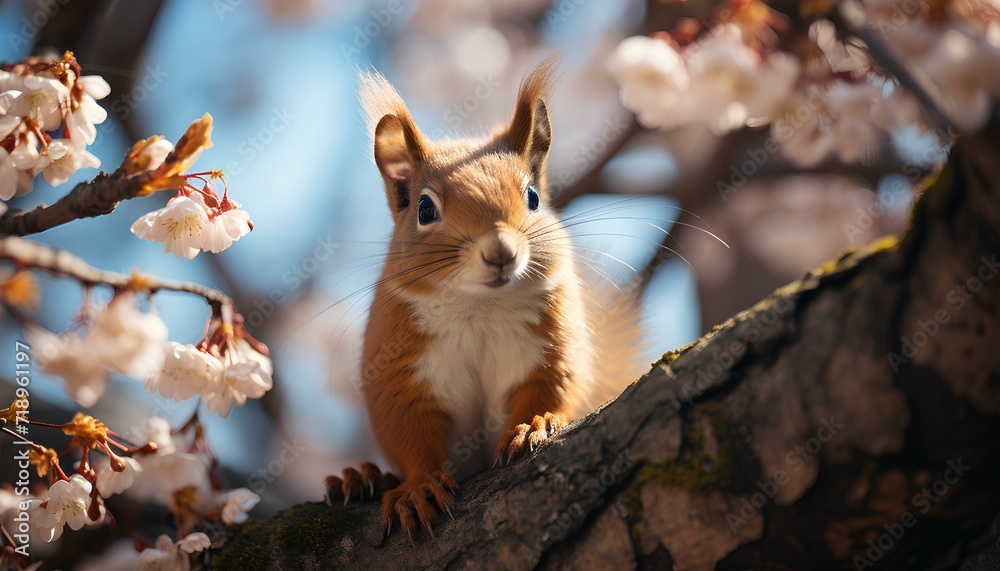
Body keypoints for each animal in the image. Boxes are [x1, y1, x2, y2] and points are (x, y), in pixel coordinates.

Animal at [325, 59, 646, 537]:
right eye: (424, 210)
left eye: (533, 197)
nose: (500, 252)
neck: (479, 308)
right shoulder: (398, 366)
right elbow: (407, 431)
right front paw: (418, 489)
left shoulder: (552, 345)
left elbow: (555, 387)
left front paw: (533, 426)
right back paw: (362, 479)